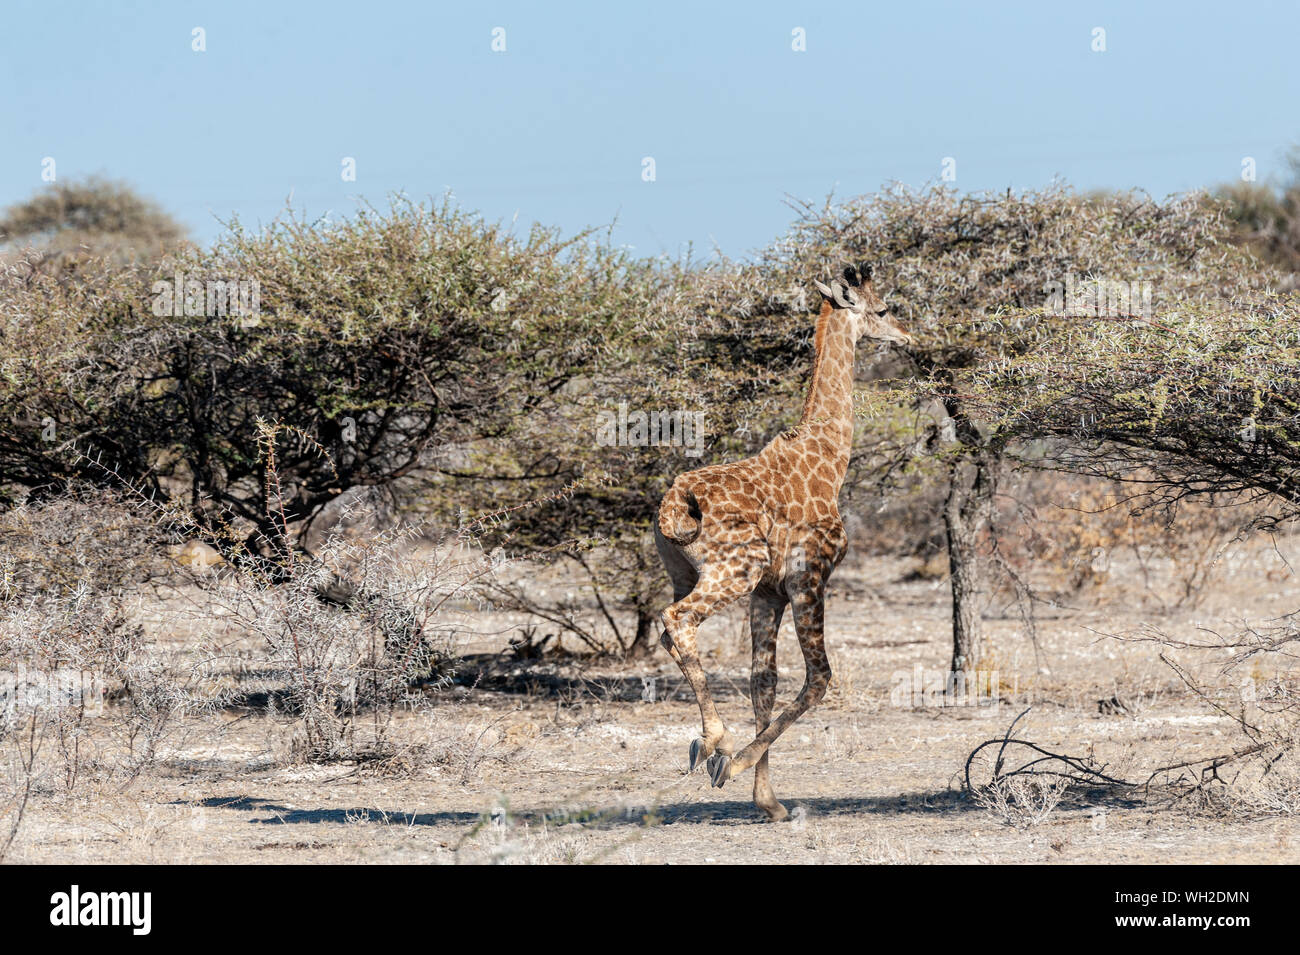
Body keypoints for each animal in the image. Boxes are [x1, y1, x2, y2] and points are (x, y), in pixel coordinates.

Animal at [654, 263, 913, 821]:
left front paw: (768, 803)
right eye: (883, 309)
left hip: (691, 572)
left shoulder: (768, 592)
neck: (830, 458)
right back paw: (717, 743)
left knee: (669, 631)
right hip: (736, 568)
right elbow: (819, 678)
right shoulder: (808, 578)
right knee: (677, 620)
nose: (907, 336)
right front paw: (736, 765)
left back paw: (713, 745)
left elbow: (763, 682)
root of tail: (677, 503)